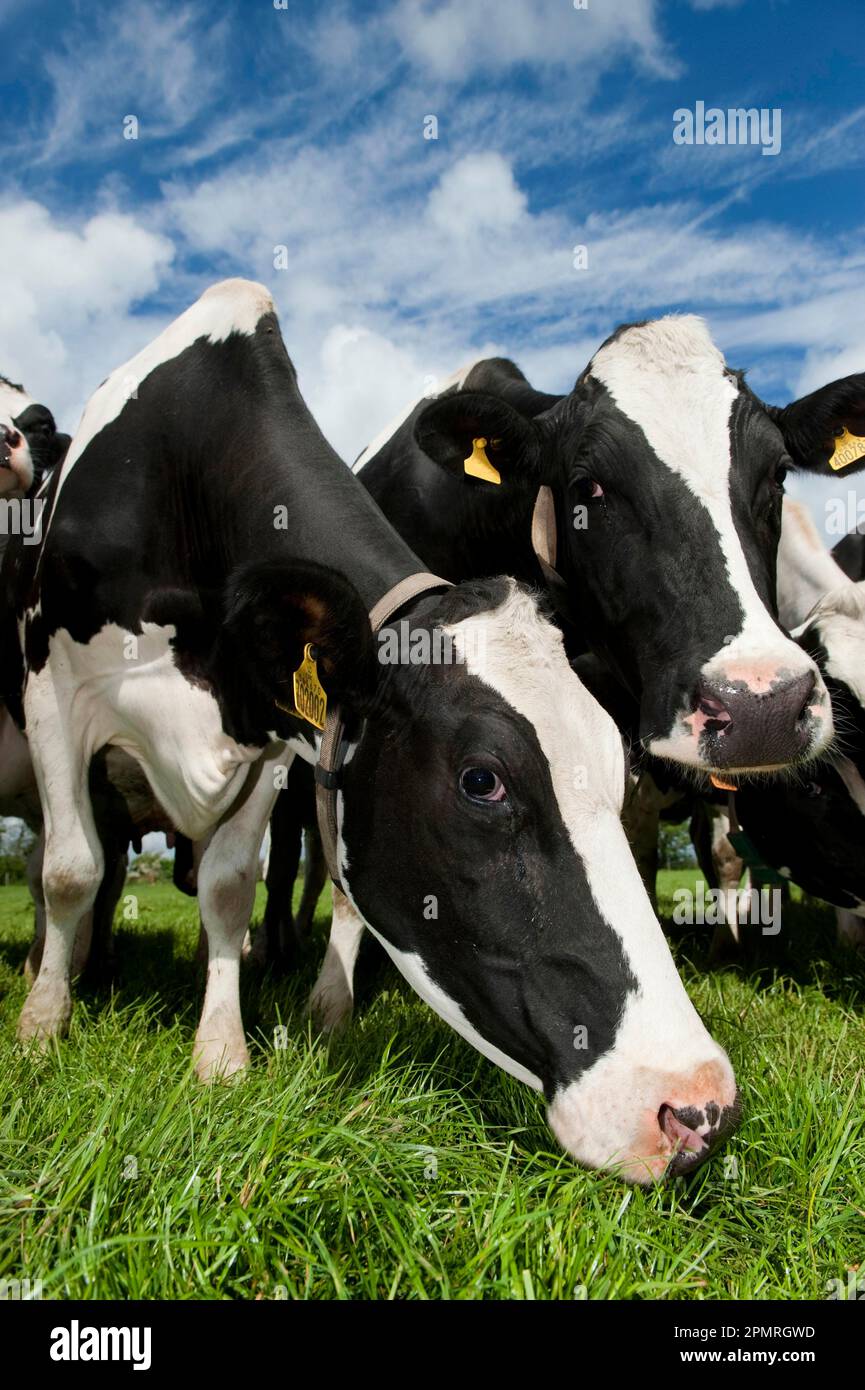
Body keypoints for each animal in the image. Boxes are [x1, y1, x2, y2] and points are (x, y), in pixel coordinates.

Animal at [5, 280, 739, 1182]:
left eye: (615, 766)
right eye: (481, 780)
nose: (696, 1106)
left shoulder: (268, 735)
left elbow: (226, 886)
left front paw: (220, 1053)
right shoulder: (50, 689)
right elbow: (70, 870)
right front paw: (42, 1027)